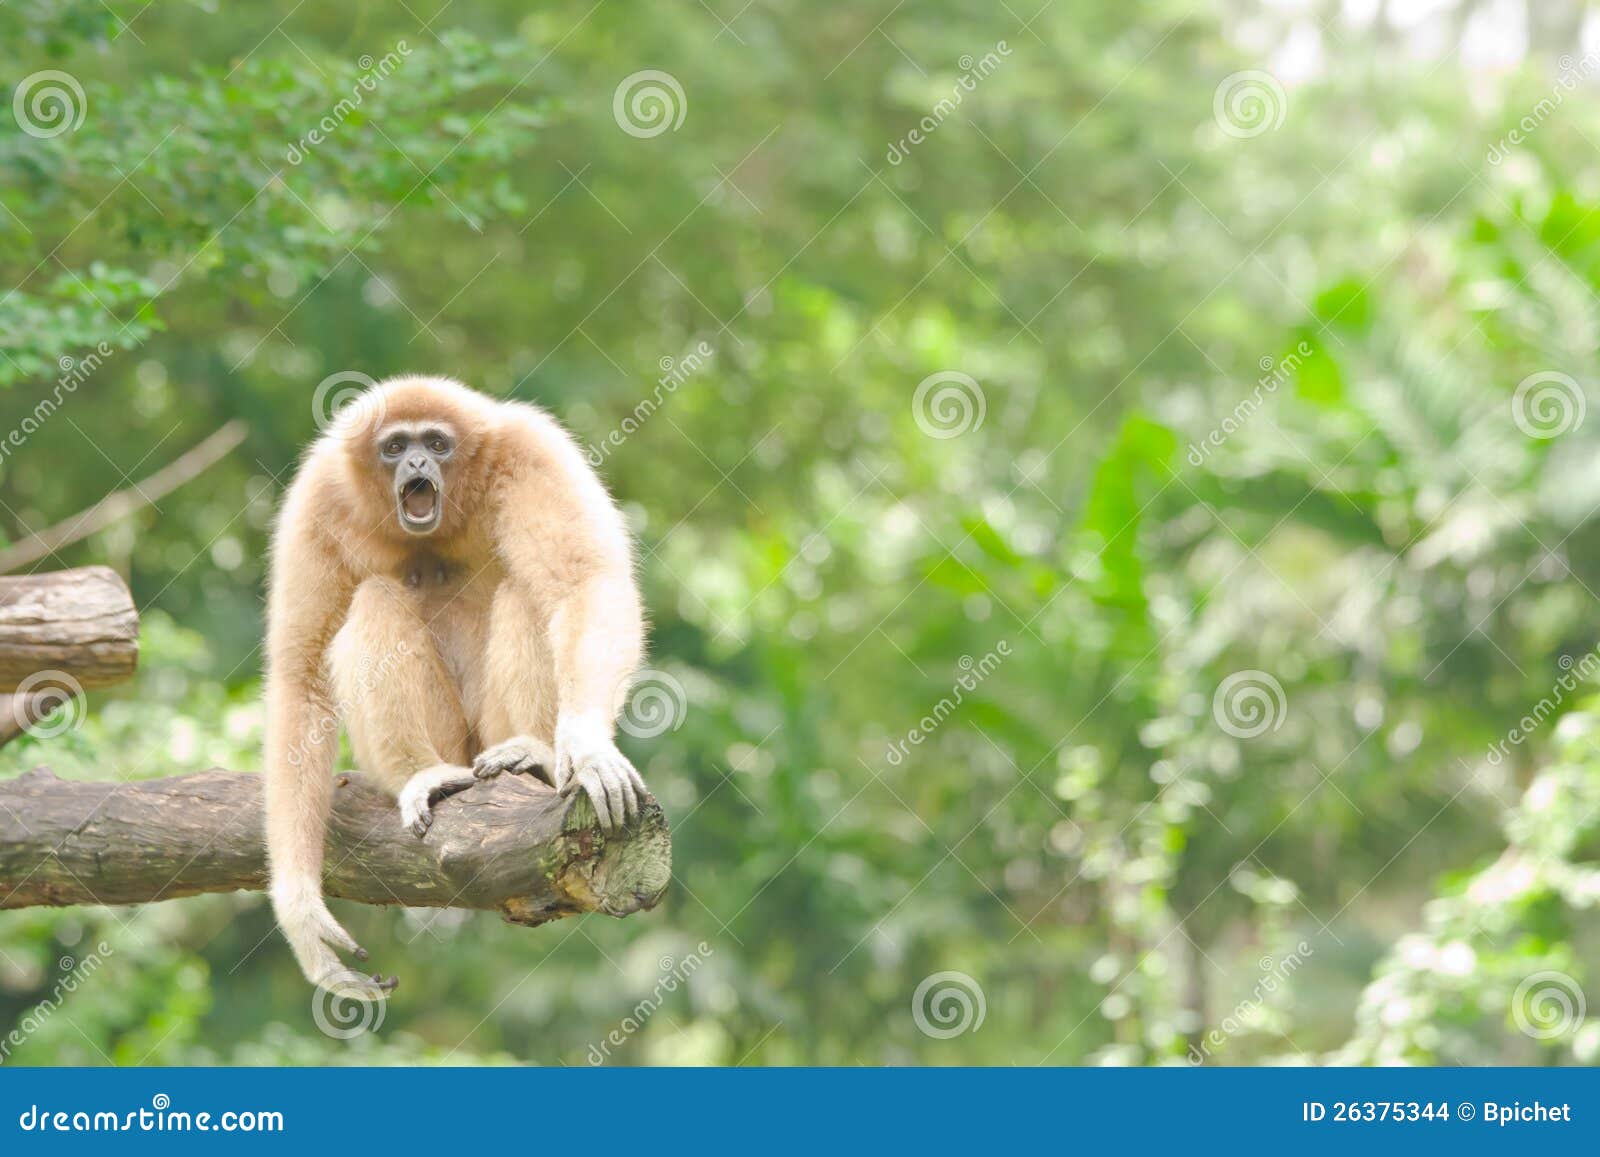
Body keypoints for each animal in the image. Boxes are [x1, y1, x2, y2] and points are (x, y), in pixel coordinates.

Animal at [263, 375, 647, 999]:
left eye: (437, 444)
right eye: (395, 447)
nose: (417, 463)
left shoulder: (531, 450)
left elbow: (582, 582)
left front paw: (588, 746)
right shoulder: (317, 496)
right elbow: (301, 677)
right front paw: (301, 915)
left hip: (486, 735)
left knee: (523, 590)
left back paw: (533, 753)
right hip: (448, 743)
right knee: (374, 599)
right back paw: (425, 775)